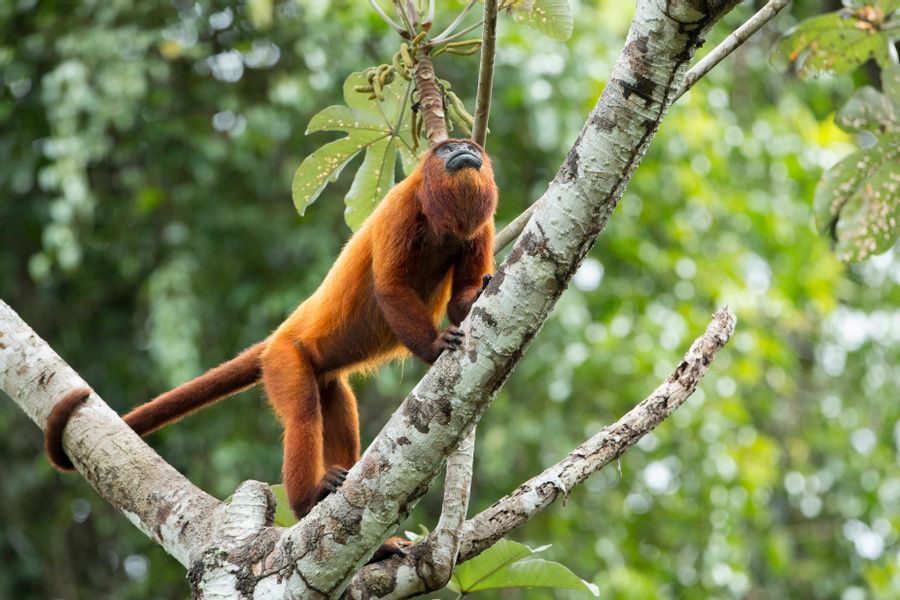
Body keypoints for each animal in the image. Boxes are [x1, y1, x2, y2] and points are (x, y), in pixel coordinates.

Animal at [45, 139, 497, 557]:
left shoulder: (482, 226)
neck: (439, 218)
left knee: (335, 401)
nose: (466, 150)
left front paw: (475, 297)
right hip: (283, 359)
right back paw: (308, 502)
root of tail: (279, 335)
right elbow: (390, 287)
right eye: (446, 149)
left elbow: (462, 298)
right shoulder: (400, 206)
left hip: (316, 370)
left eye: (471, 146)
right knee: (302, 413)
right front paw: (435, 347)